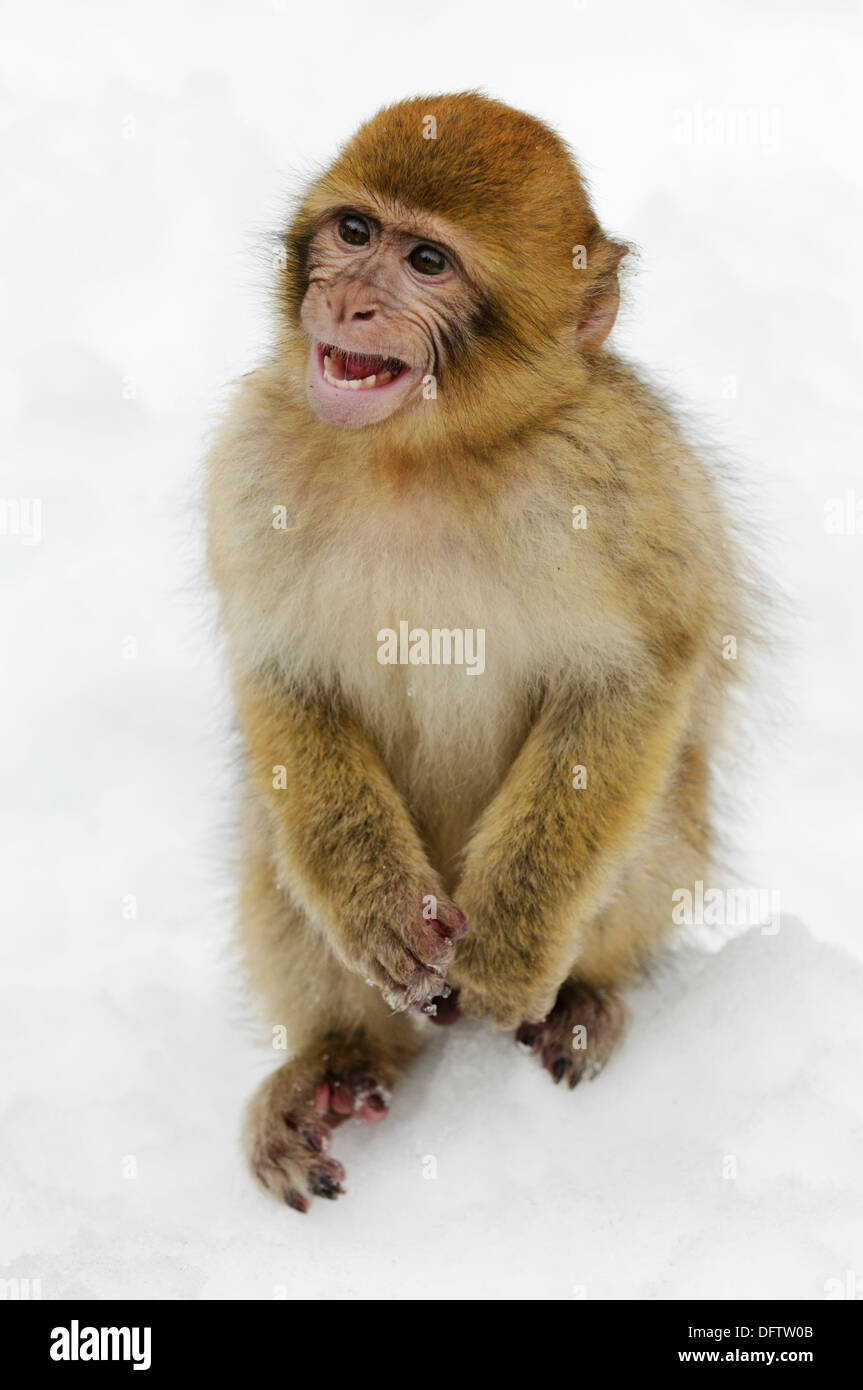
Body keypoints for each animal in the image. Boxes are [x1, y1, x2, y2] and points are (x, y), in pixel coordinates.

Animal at [206, 92, 750, 1211]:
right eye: (355, 233)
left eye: (427, 261)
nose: (351, 302)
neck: (417, 457)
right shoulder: (247, 461)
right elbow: (280, 676)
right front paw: (378, 910)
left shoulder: (622, 476)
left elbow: (632, 677)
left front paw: (509, 942)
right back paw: (335, 1063)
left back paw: (582, 996)